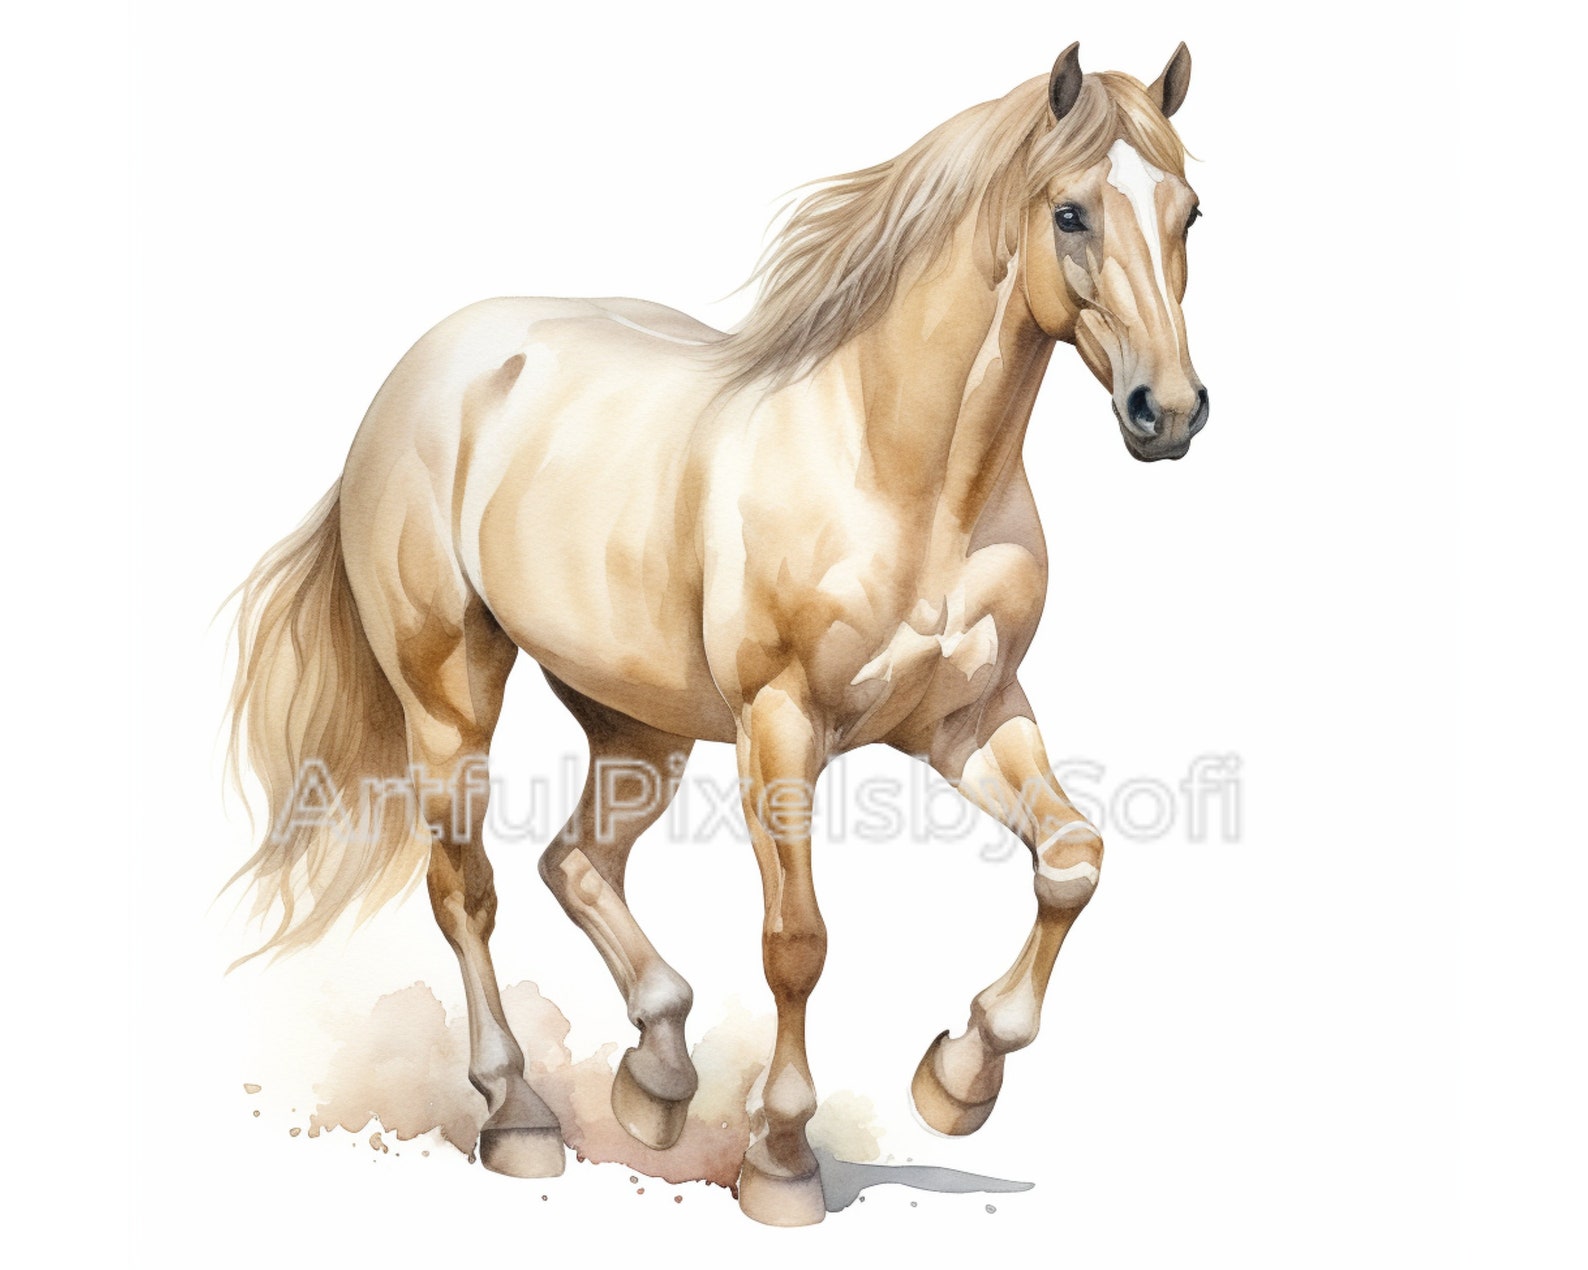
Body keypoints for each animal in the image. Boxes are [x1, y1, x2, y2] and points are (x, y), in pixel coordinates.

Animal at [224, 42, 1207, 1226]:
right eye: (1070, 212)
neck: (903, 478)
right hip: (449, 698)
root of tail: (416, 377)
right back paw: (520, 1117)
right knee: (470, 891)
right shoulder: (780, 727)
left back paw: (656, 1079)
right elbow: (798, 943)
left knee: (575, 860)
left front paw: (958, 1079)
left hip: (639, 727)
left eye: (1190, 212)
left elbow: (1072, 860)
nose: (1170, 411)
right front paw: (781, 1161)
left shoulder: (971, 717)